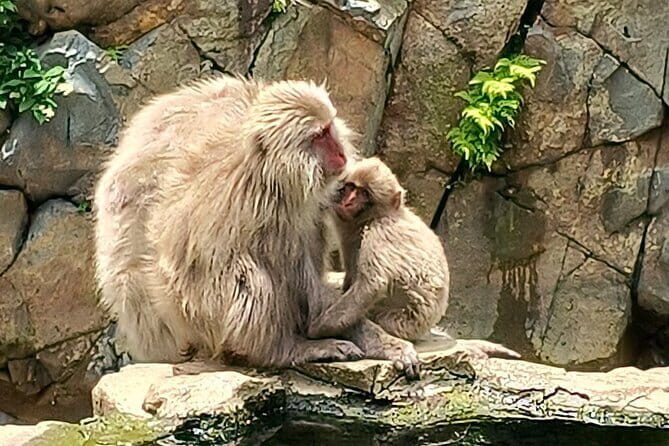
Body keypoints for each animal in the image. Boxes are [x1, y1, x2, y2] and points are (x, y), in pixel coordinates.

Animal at [94, 75, 371, 369]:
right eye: (319, 137)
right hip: (192, 317)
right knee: (245, 273)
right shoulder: (263, 209)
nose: (340, 154)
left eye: (330, 128)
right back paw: (278, 351)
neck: (272, 176)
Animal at [308, 157, 521, 362]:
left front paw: (318, 328)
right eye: (351, 188)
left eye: (364, 193)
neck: (375, 217)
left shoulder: (380, 232)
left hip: (401, 322)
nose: (348, 201)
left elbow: (371, 286)